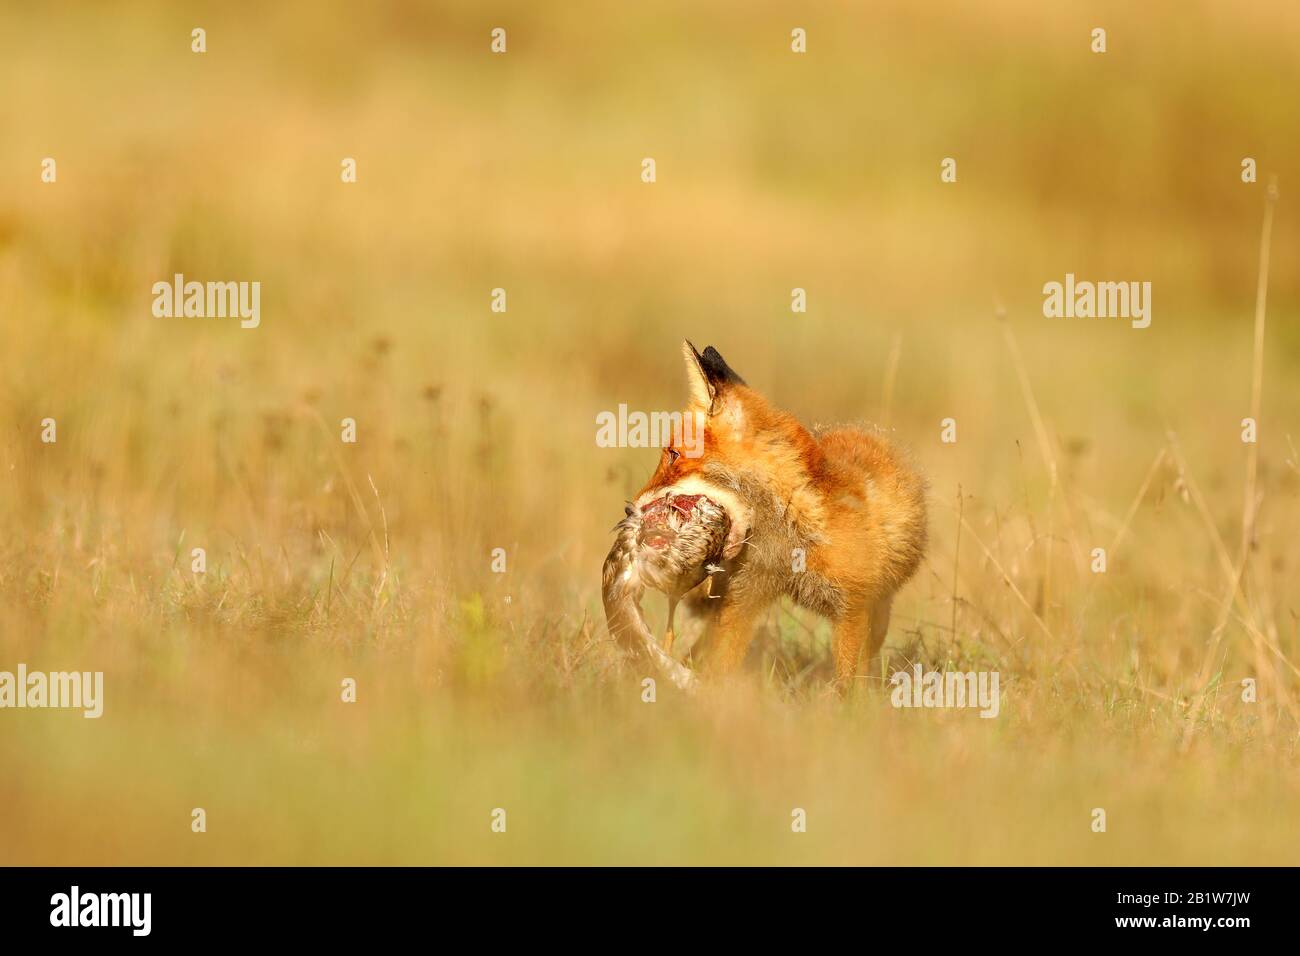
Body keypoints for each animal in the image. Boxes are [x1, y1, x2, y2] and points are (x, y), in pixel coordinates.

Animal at [626, 340, 927, 686]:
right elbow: (720, 665)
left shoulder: (855, 609)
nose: (629, 507)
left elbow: (849, 684)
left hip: (880, 611)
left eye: (674, 454)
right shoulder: (742, 597)